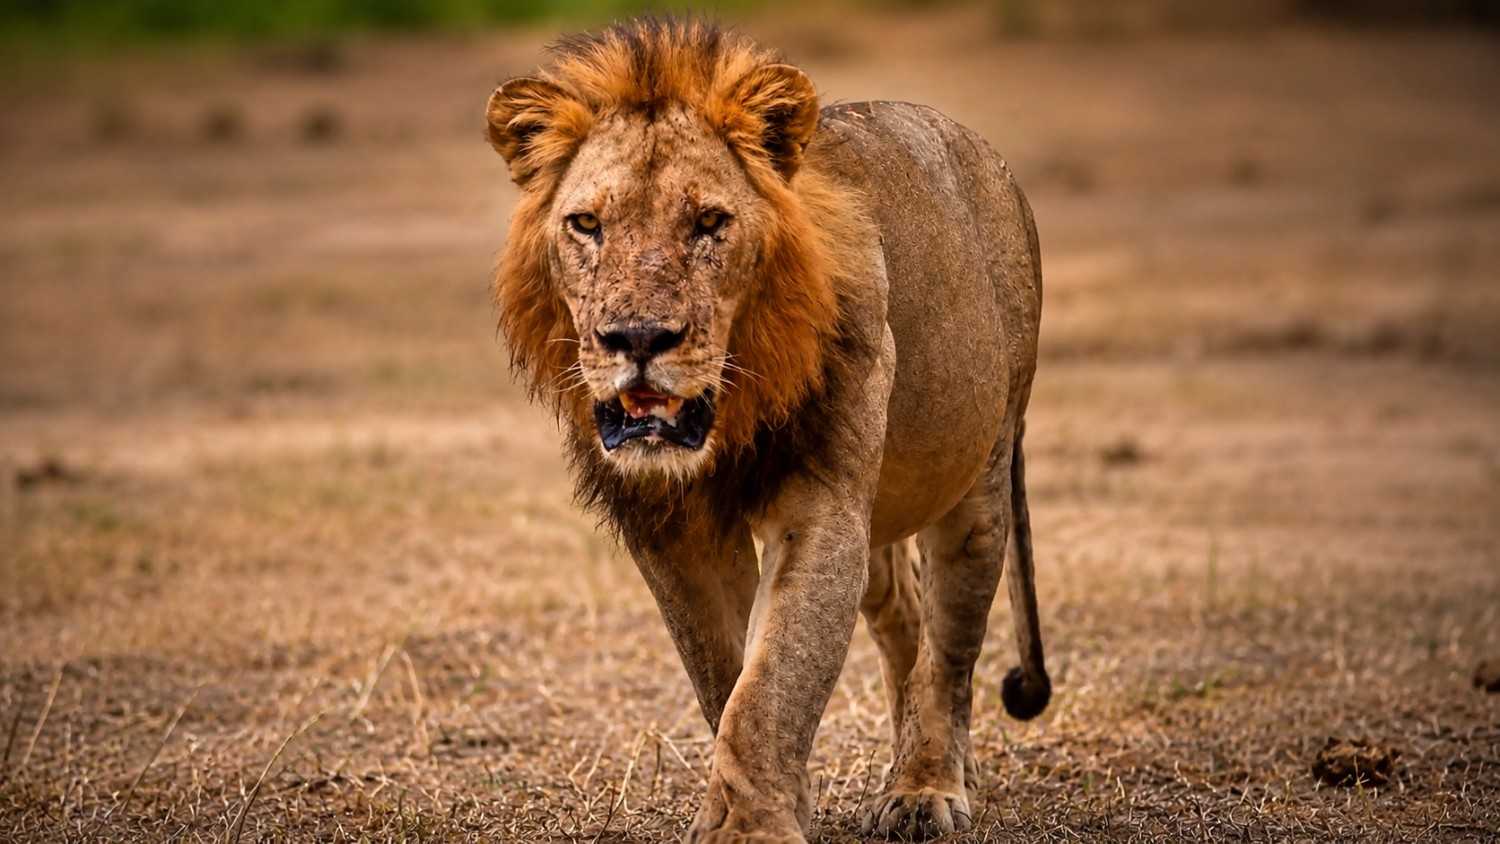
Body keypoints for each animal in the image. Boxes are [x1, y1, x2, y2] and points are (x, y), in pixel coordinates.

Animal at [485, 19, 1050, 842]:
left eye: (709, 223)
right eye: (586, 224)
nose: (638, 339)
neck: (730, 411)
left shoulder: (820, 507)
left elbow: (770, 685)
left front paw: (754, 825)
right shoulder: (669, 529)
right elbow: (725, 677)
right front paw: (767, 803)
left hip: (981, 476)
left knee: (949, 648)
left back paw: (925, 787)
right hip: (881, 518)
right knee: (904, 617)